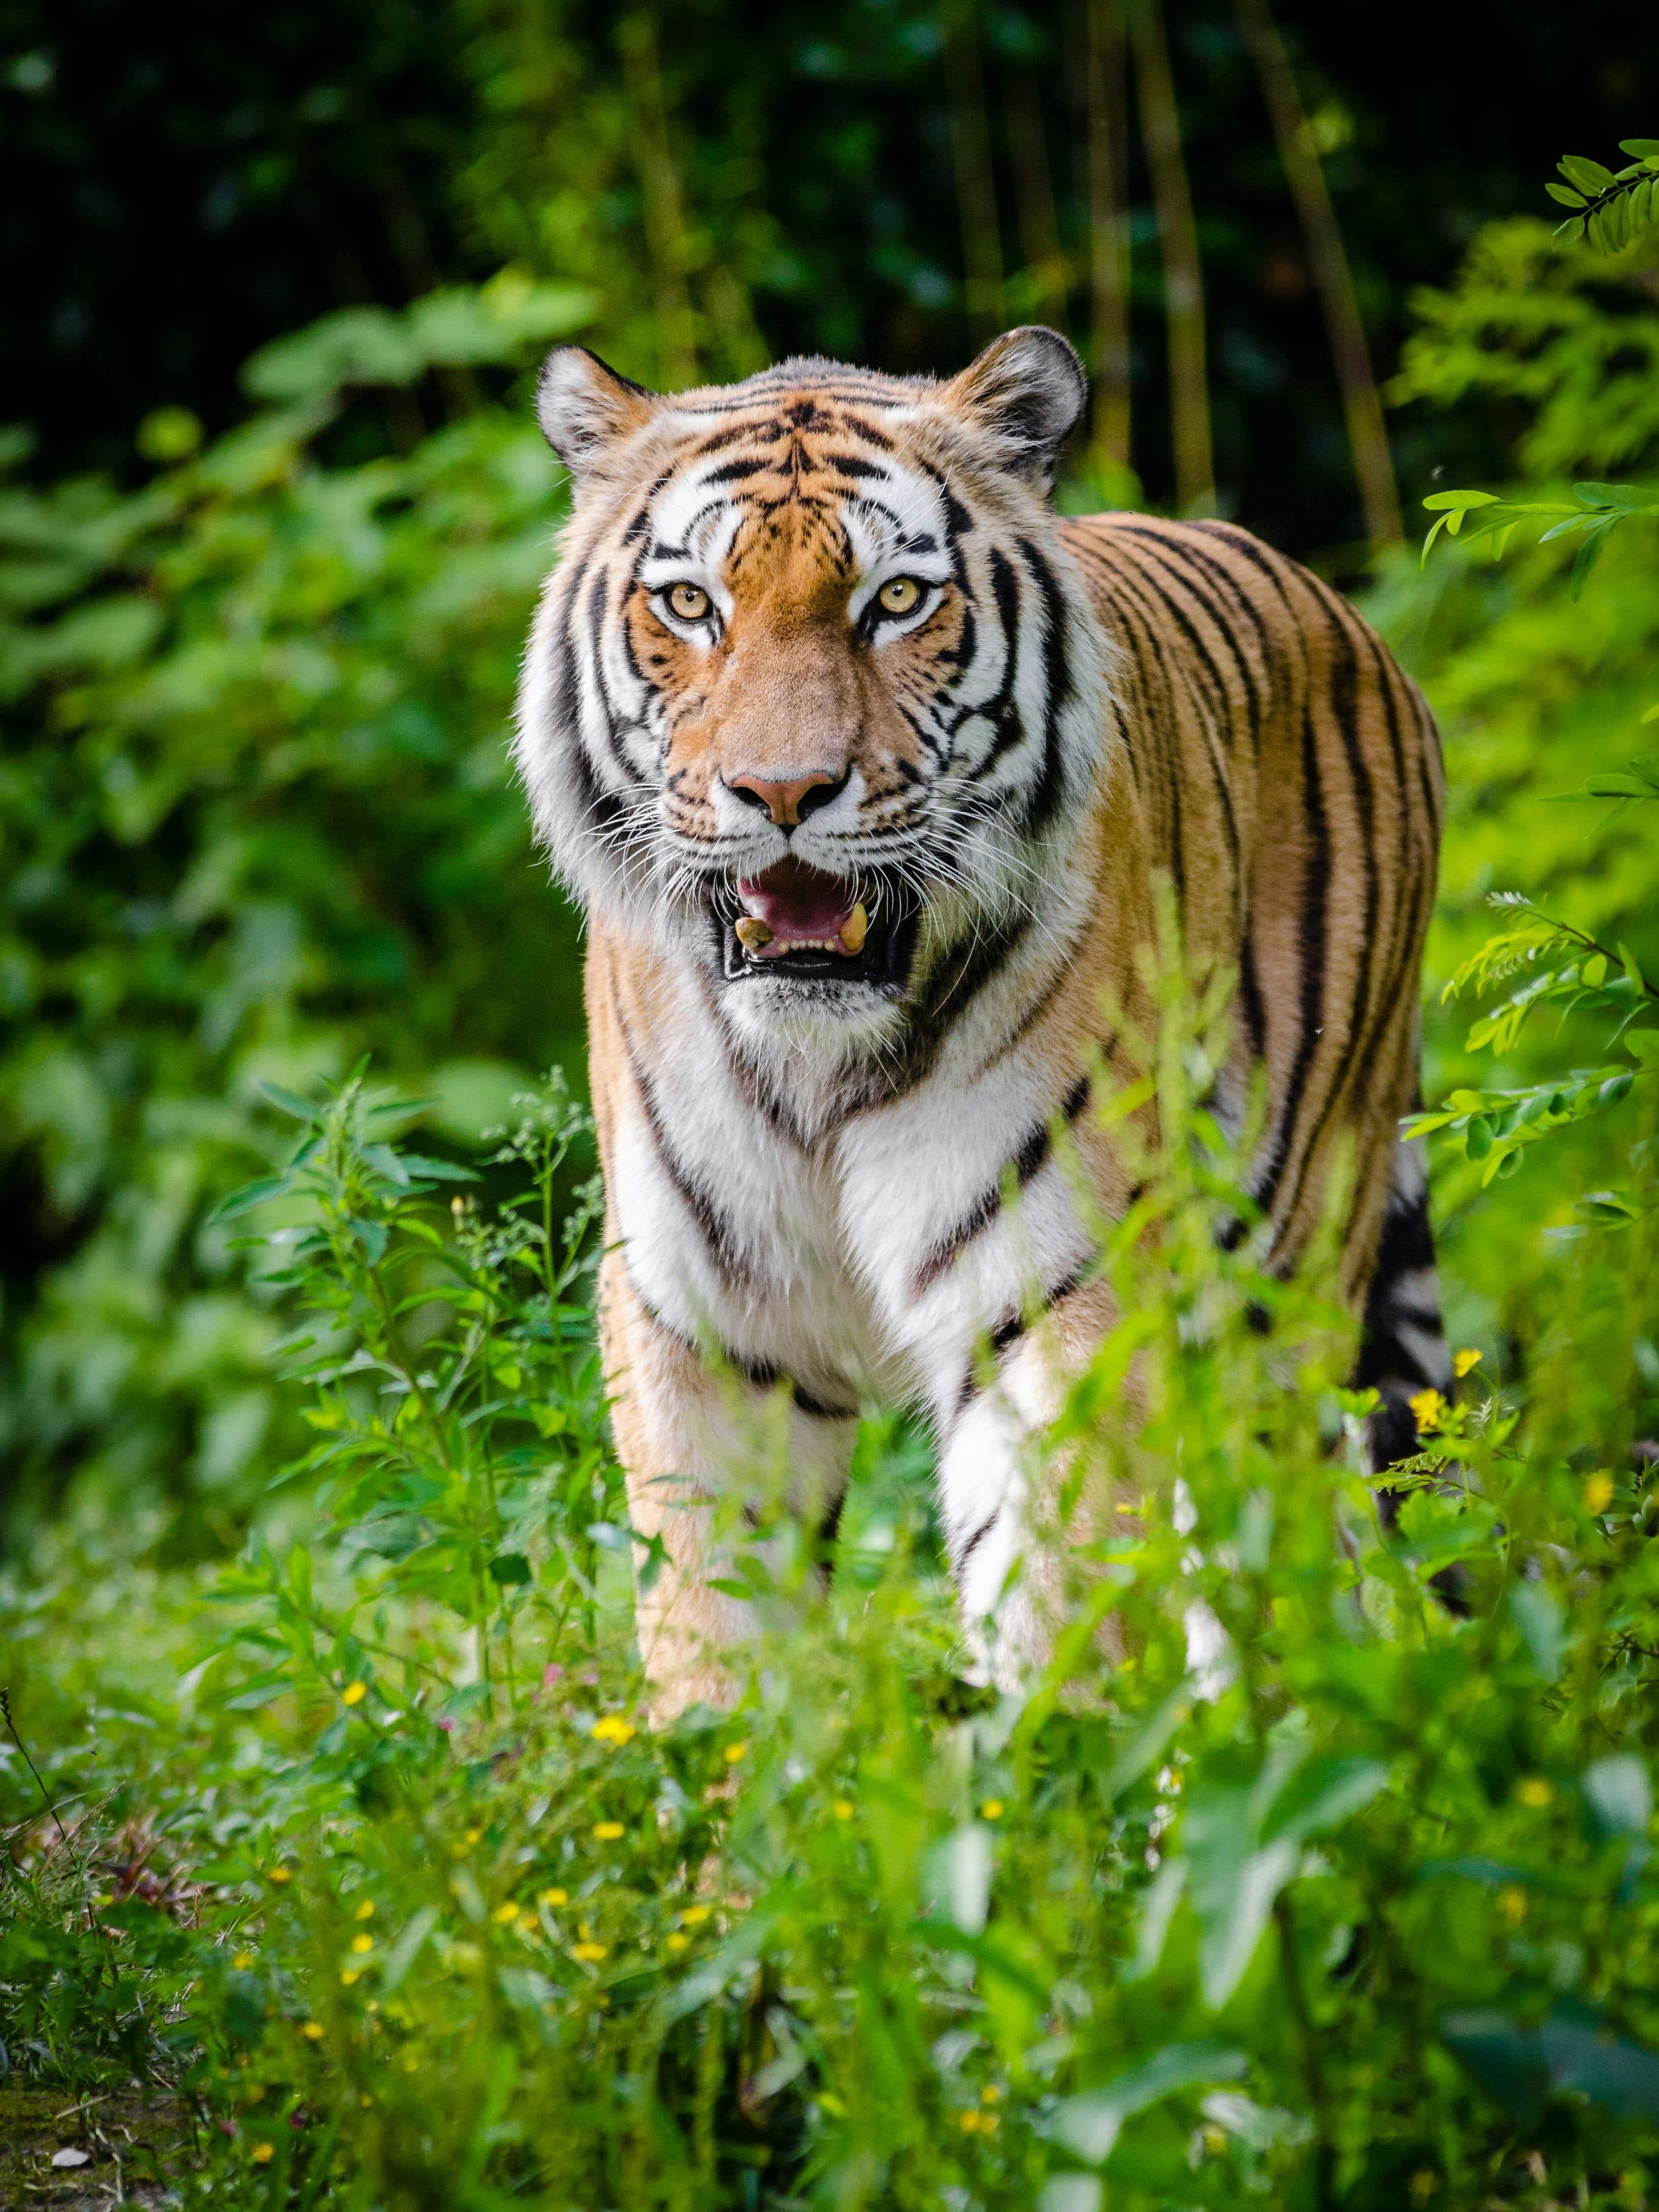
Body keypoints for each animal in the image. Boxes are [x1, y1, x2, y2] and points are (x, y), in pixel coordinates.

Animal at [515, 326, 1447, 1714]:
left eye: (897, 600)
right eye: (689, 606)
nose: (781, 791)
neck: (818, 1065)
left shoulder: (1052, 1299)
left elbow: (1060, 1604)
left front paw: (1053, 1769)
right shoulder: (704, 1324)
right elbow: (711, 1635)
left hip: (1282, 1277)